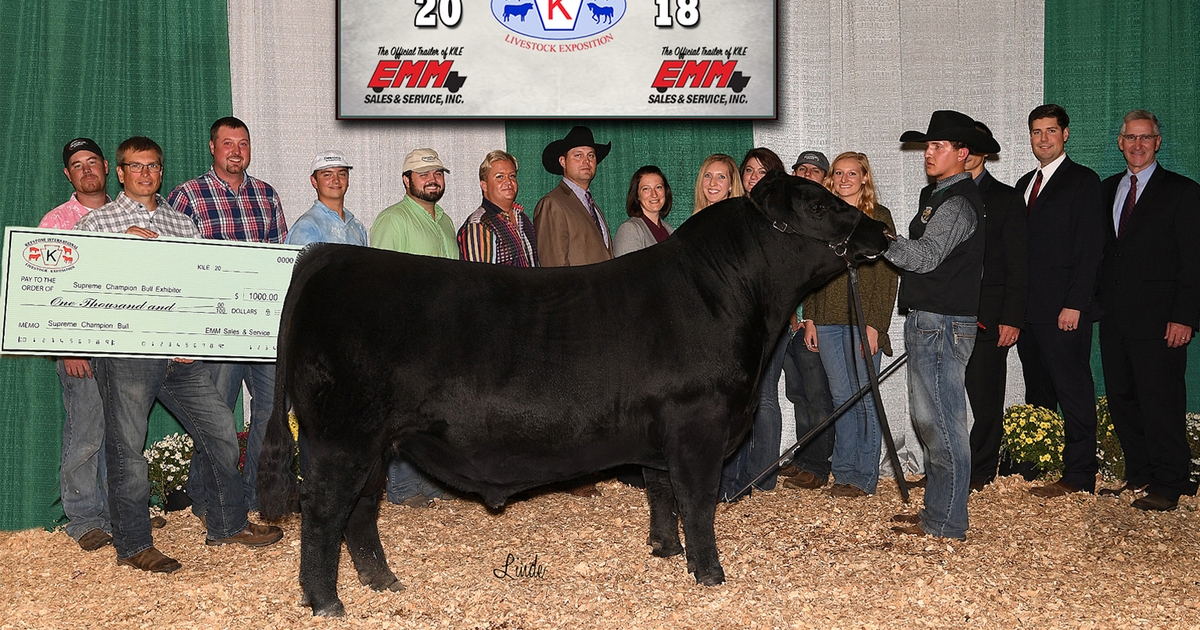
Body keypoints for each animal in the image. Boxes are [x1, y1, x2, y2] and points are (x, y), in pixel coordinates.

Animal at [257, 173, 891, 616]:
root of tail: (330, 256)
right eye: (818, 205)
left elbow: (661, 491)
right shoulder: (699, 424)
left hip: (376, 441)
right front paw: (709, 574)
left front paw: (663, 551)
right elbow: (698, 501)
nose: (879, 232)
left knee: (361, 510)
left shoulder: (661, 431)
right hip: (343, 436)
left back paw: (383, 583)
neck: (729, 296)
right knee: (324, 511)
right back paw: (326, 601)